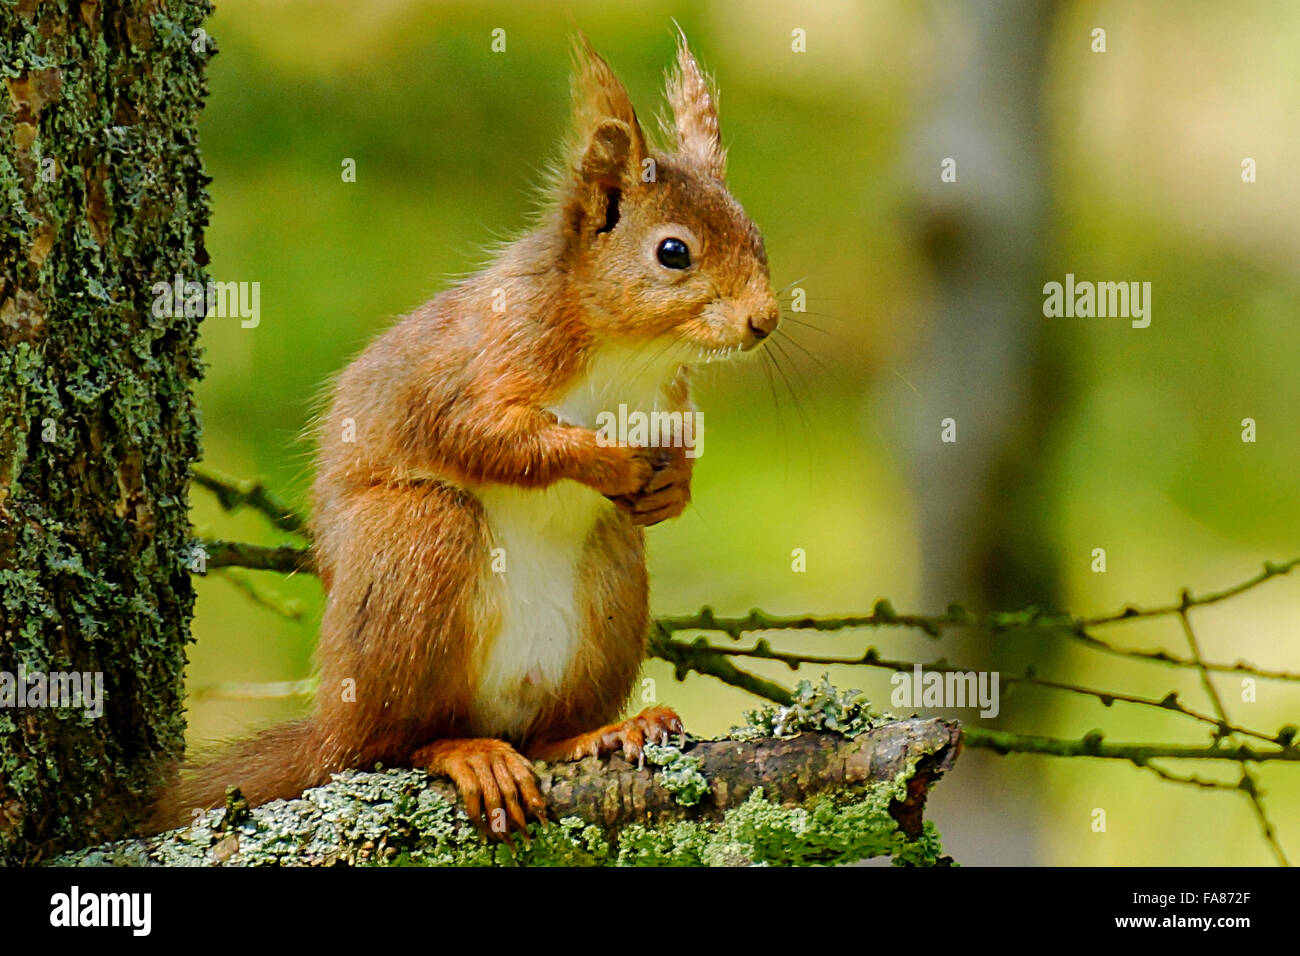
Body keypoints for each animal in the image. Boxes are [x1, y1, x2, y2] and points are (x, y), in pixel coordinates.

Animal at [152, 35, 780, 837]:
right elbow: (491, 440)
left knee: (541, 730)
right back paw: (463, 752)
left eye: (755, 234)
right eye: (674, 252)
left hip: (609, 585)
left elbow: (682, 446)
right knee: (388, 745)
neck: (627, 350)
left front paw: (672, 487)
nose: (766, 319)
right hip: (417, 543)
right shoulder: (482, 367)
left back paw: (602, 730)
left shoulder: (669, 404)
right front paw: (604, 461)